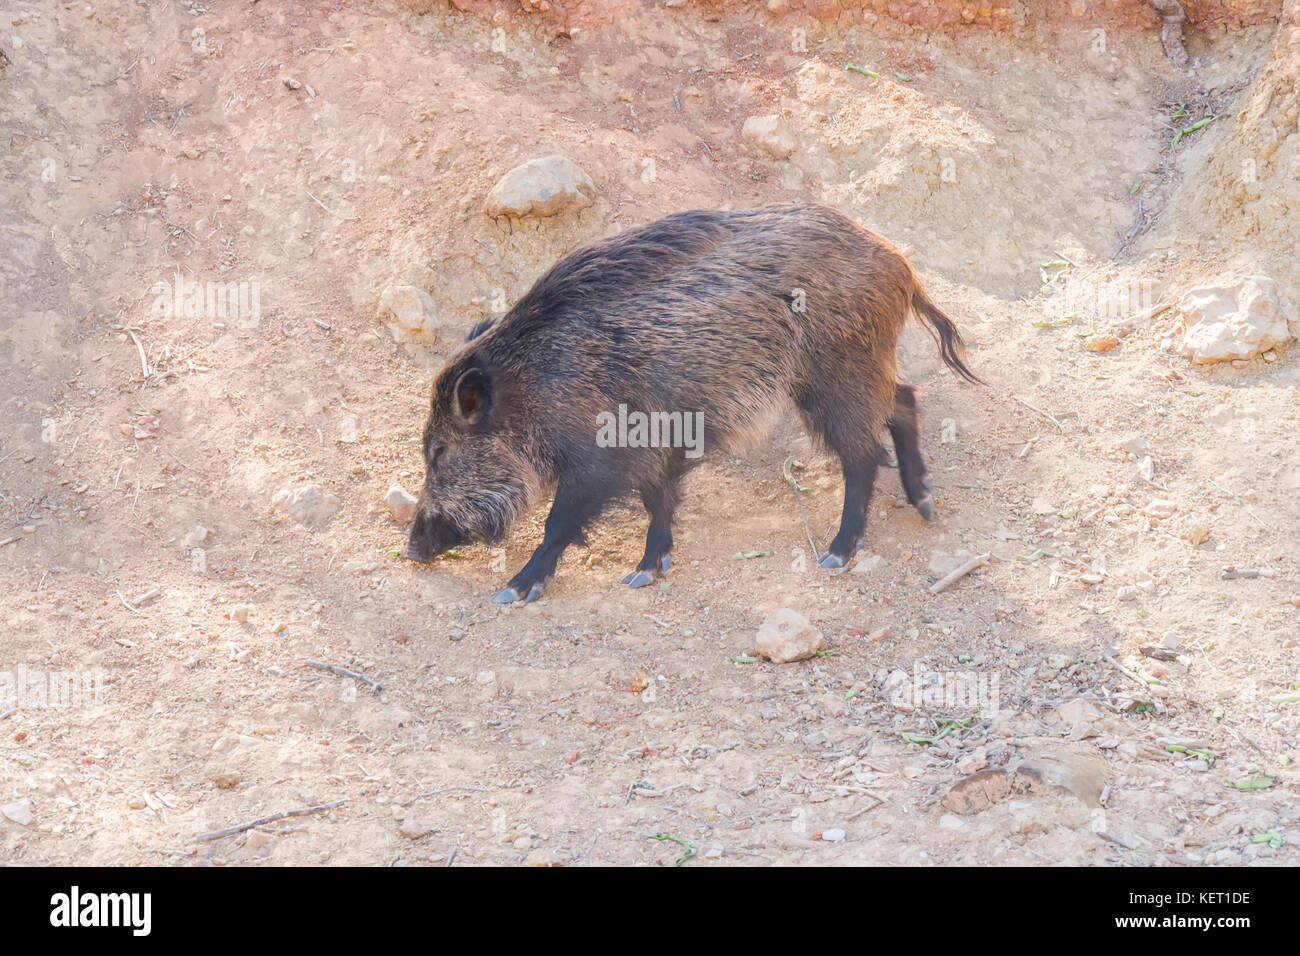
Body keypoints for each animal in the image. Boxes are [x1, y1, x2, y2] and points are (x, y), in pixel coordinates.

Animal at [406, 203, 981, 602]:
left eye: (437, 450)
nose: (412, 550)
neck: (532, 388)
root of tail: (899, 263)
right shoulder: (657, 443)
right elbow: (659, 498)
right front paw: (645, 572)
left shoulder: (602, 457)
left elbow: (560, 523)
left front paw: (514, 590)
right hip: (844, 373)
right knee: (903, 400)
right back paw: (924, 503)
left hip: (835, 376)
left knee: (863, 454)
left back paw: (837, 555)